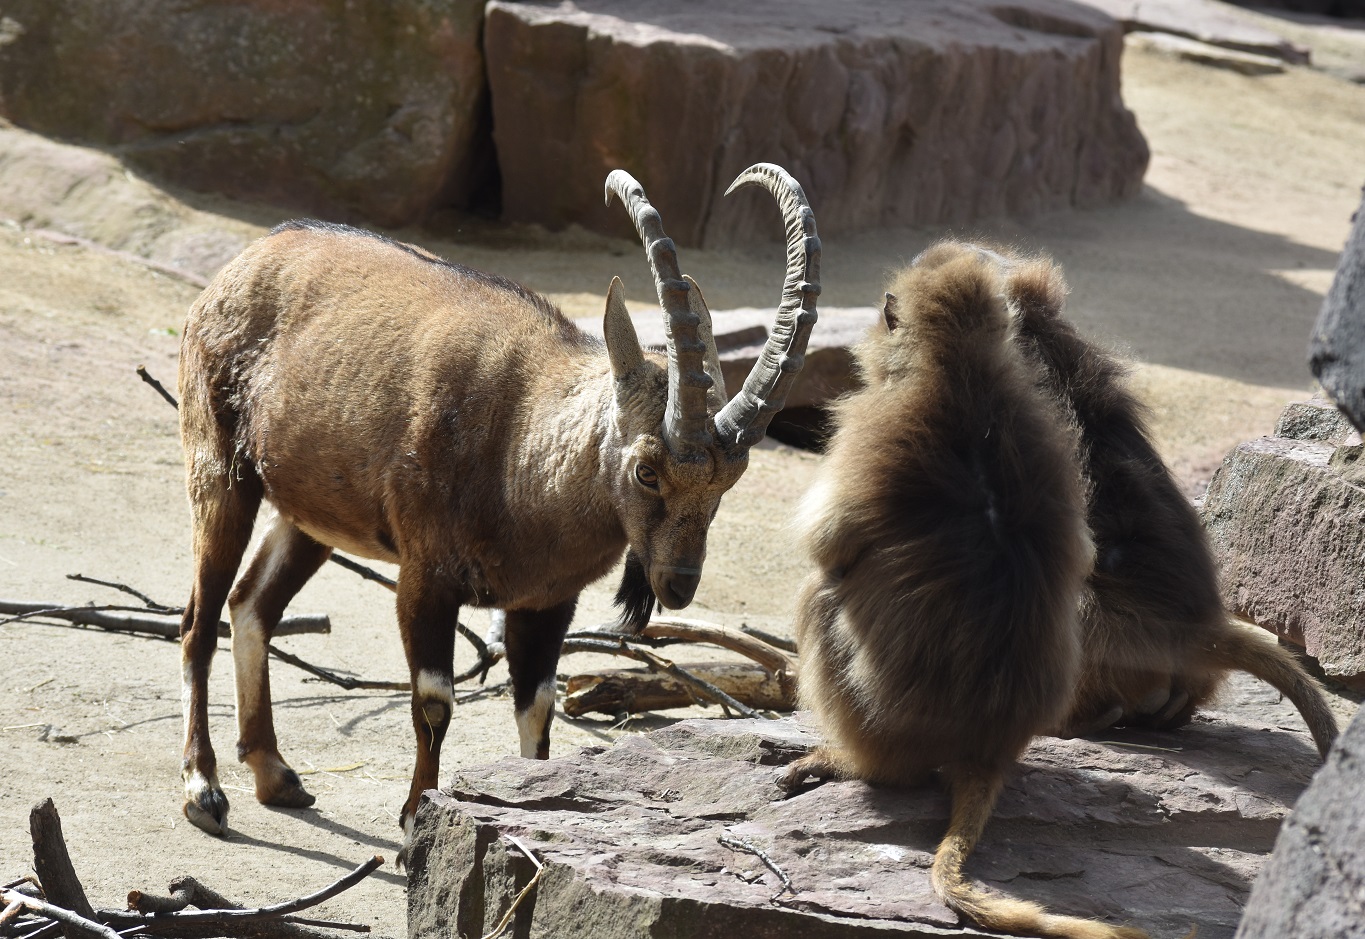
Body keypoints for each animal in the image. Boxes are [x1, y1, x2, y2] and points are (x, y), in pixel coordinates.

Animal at [174, 164, 821, 850]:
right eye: (646, 469)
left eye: (730, 479)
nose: (678, 584)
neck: (521, 450)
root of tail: (243, 263)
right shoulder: (425, 580)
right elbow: (434, 703)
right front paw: (417, 820)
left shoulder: (545, 603)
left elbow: (536, 710)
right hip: (220, 470)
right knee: (198, 620)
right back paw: (203, 789)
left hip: (310, 516)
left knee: (251, 605)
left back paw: (274, 774)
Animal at [781, 243, 1146, 939]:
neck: (965, 371)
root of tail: (987, 747)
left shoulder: (868, 423)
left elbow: (825, 545)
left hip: (884, 730)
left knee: (821, 594)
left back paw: (850, 765)